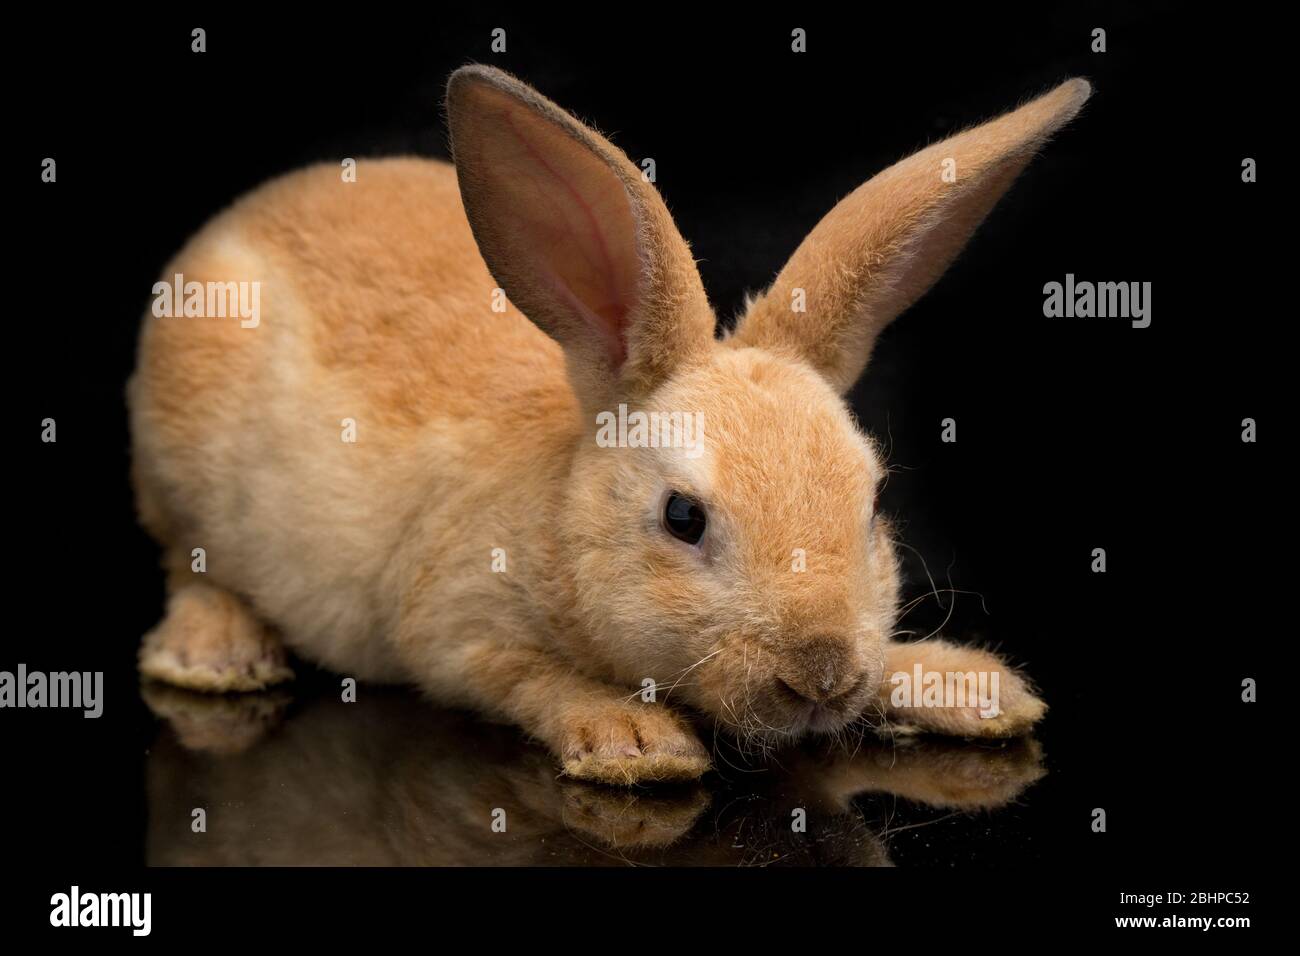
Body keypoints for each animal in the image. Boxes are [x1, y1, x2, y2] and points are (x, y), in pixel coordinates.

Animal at [129, 64, 1090, 785]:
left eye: (873, 506)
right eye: (682, 518)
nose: (822, 673)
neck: (559, 513)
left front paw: (975, 690)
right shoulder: (454, 626)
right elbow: (522, 674)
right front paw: (635, 743)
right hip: (175, 471)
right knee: (185, 563)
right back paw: (215, 655)